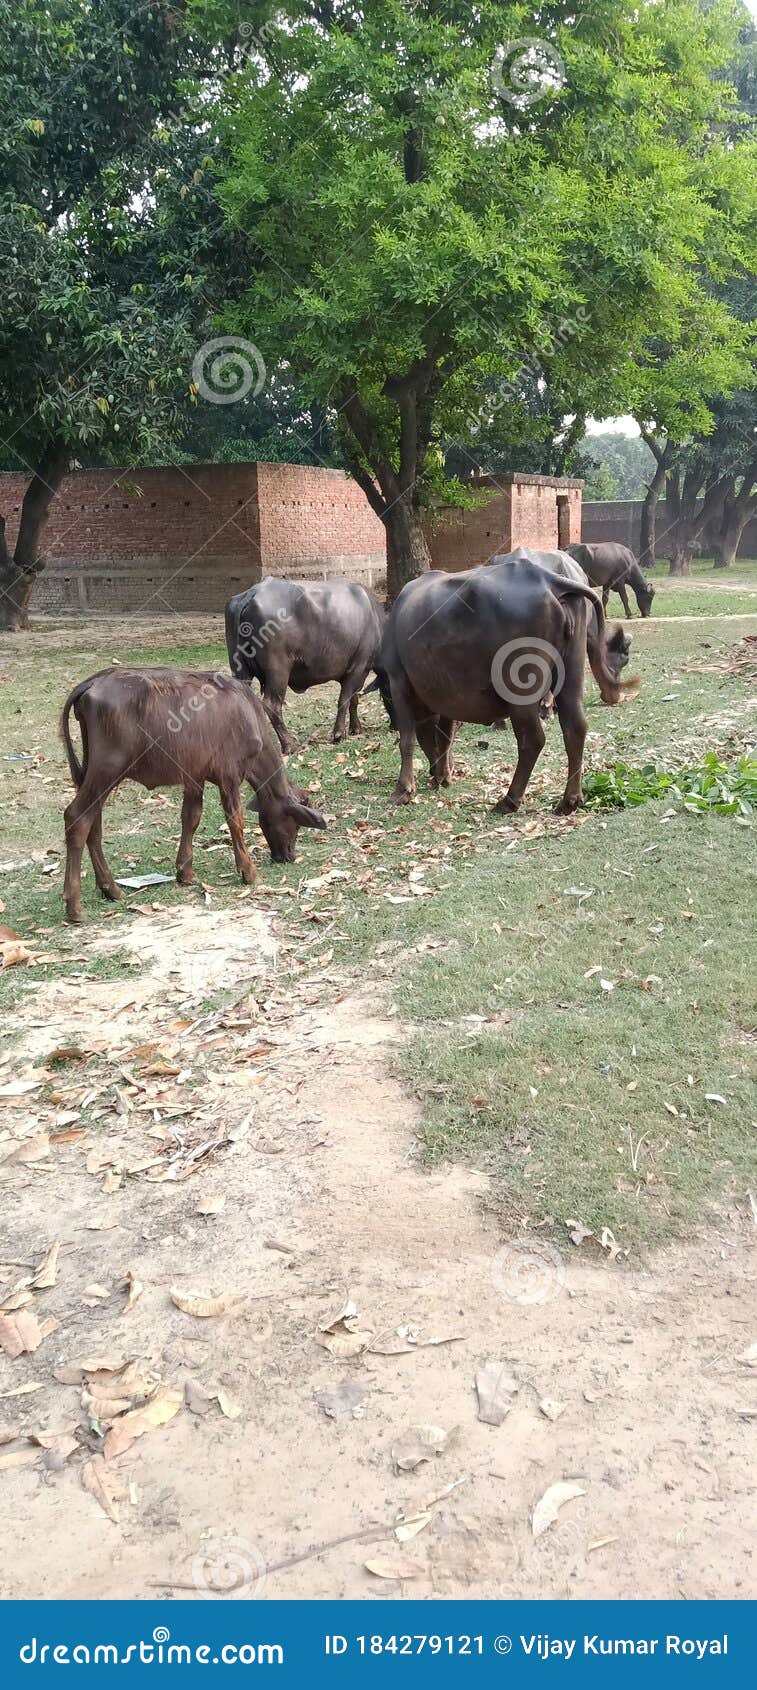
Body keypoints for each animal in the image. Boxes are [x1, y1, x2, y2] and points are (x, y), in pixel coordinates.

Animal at [60, 668, 326, 923]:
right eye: (295, 824)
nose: (288, 856)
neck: (247, 714)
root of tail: (95, 680)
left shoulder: (194, 777)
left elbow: (191, 818)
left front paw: (185, 872)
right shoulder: (229, 777)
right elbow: (235, 821)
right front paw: (248, 871)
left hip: (92, 773)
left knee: (94, 823)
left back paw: (110, 888)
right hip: (108, 770)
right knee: (77, 818)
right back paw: (75, 906)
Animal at [225, 577, 387, 753]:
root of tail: (251, 594)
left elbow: (354, 699)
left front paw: (356, 728)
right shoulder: (358, 668)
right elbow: (345, 699)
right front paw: (339, 734)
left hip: (241, 670)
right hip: (278, 671)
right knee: (272, 705)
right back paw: (290, 745)